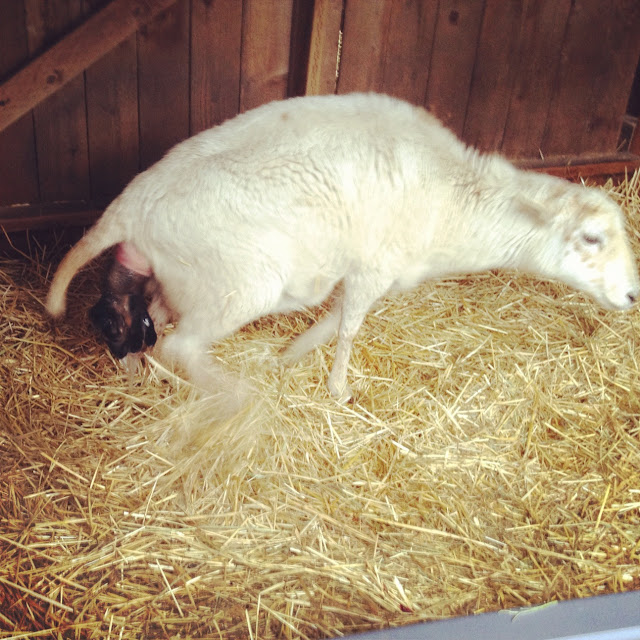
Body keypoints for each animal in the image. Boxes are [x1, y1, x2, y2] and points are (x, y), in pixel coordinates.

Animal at [45, 92, 639, 401]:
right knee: (180, 346)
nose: (633, 297)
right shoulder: (371, 268)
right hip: (241, 285)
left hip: (184, 279)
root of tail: (132, 204)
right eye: (591, 238)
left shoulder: (370, 272)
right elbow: (349, 329)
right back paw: (236, 395)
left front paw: (292, 356)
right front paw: (337, 389)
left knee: (155, 324)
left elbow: (333, 322)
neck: (452, 201)